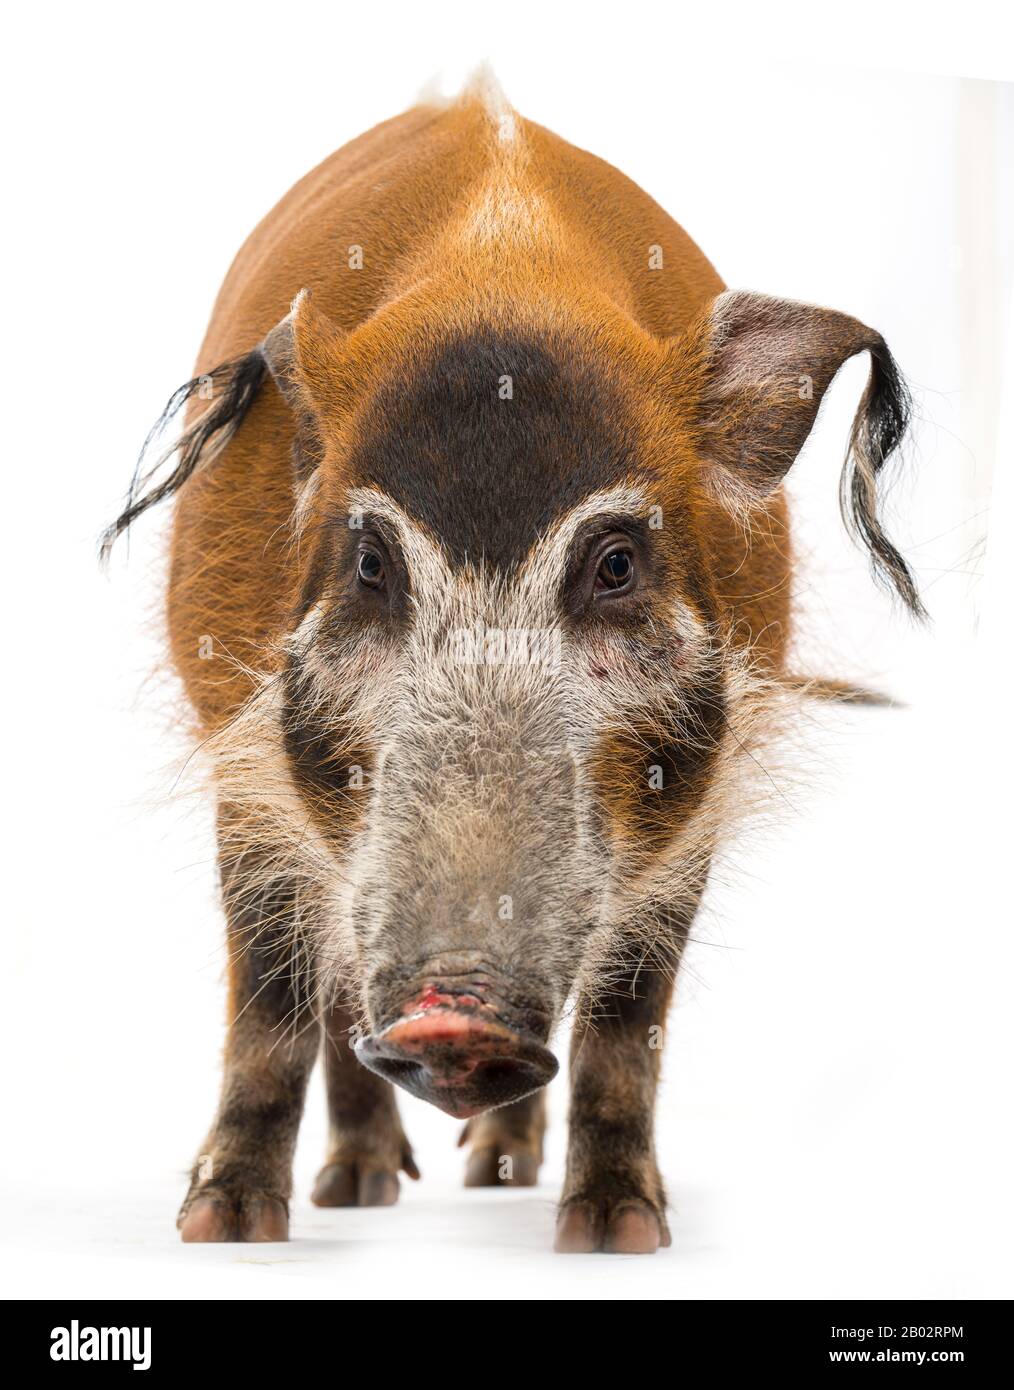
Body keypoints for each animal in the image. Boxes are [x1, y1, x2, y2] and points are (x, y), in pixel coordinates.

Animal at [103, 72, 922, 1254]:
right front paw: (224, 1230)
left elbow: (628, 1023)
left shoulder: (690, 804)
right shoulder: (246, 763)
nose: (454, 1018)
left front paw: (617, 1235)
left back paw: (498, 1174)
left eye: (616, 563)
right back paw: (357, 1189)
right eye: (369, 561)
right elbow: (270, 995)